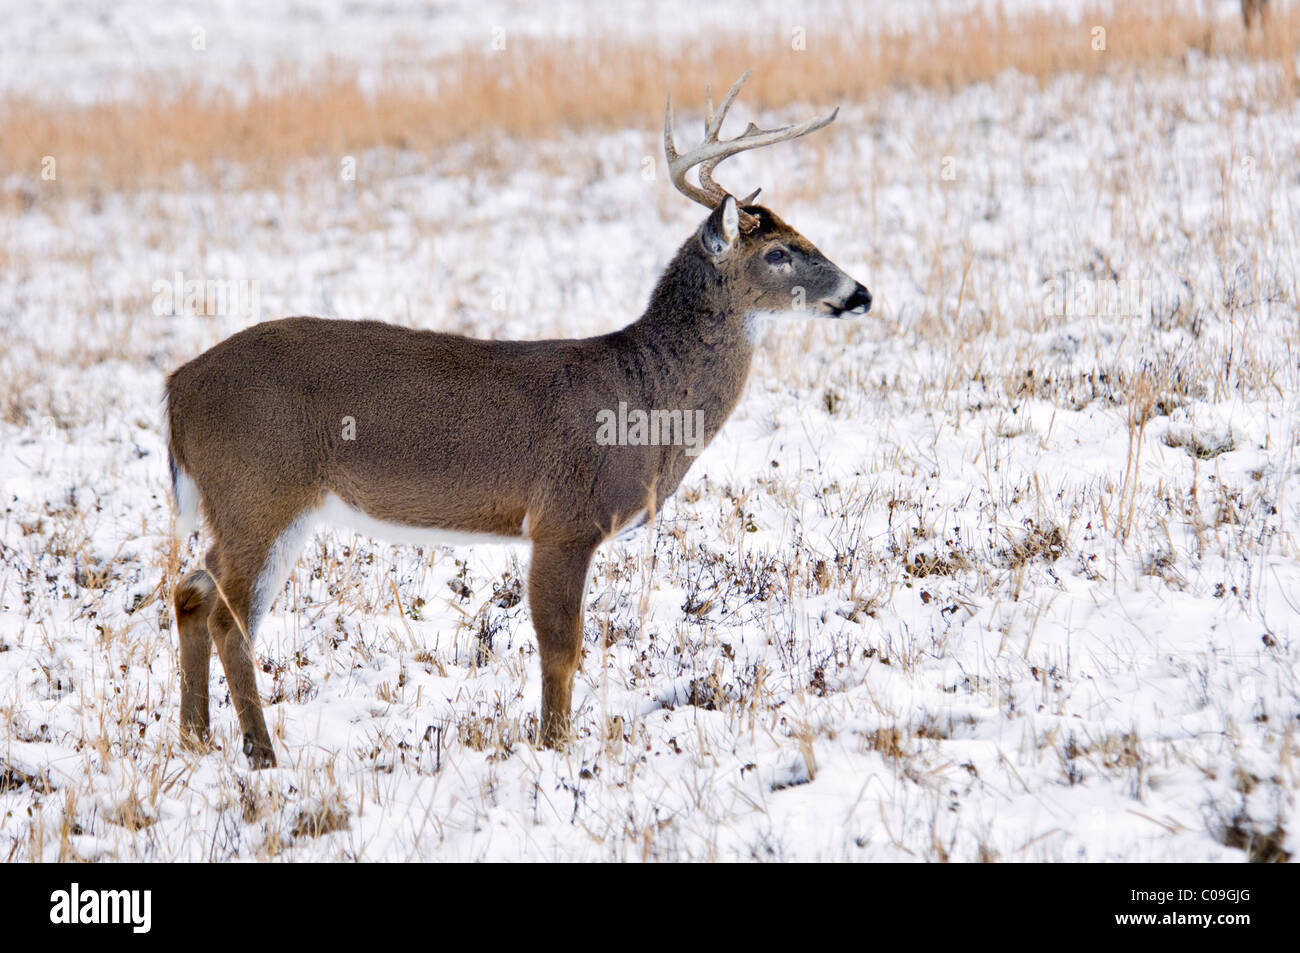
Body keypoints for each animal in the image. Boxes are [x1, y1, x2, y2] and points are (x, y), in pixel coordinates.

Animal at [166, 72, 871, 768]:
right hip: (260, 492)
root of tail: (175, 389)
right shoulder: (563, 519)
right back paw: (261, 754)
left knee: (191, 591)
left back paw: (195, 738)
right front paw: (554, 748)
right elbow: (562, 645)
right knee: (229, 617)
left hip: (248, 508)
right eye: (778, 252)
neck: (644, 398)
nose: (860, 293)